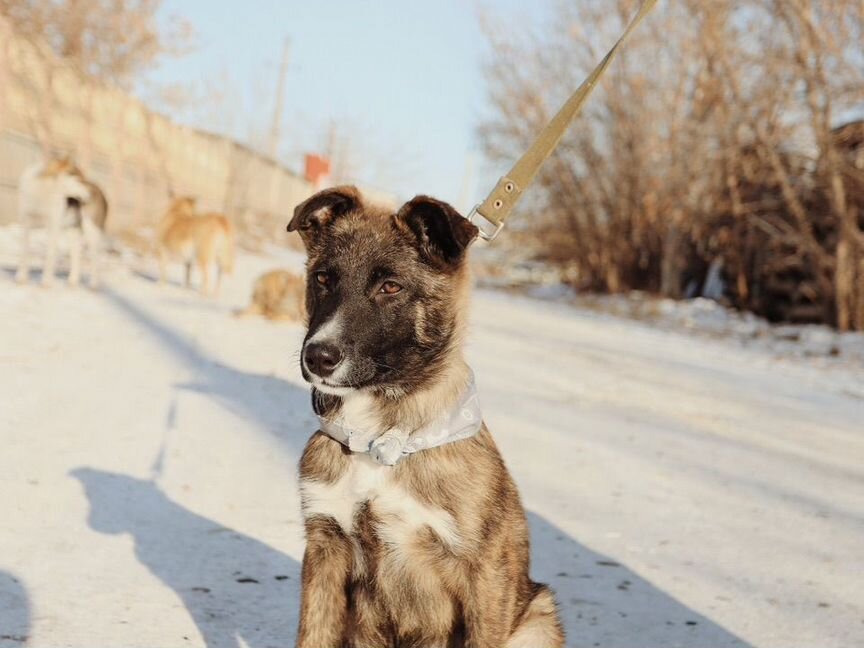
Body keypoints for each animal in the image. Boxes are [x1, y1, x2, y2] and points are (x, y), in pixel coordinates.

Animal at [16, 157, 109, 288]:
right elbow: (24, 252)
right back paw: (73, 281)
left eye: (83, 180)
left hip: (91, 232)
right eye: (78, 179)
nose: (89, 196)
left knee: (96, 260)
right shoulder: (26, 224)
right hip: (72, 231)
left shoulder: (53, 227)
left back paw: (93, 285)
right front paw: (21, 278)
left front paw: (46, 282)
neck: (44, 188)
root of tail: (101, 192)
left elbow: (50, 256)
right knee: (77, 255)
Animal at [286, 186, 564, 648]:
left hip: (539, 616)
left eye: (391, 286)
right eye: (323, 278)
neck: (383, 435)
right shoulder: (324, 549)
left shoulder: (484, 577)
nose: (318, 357)